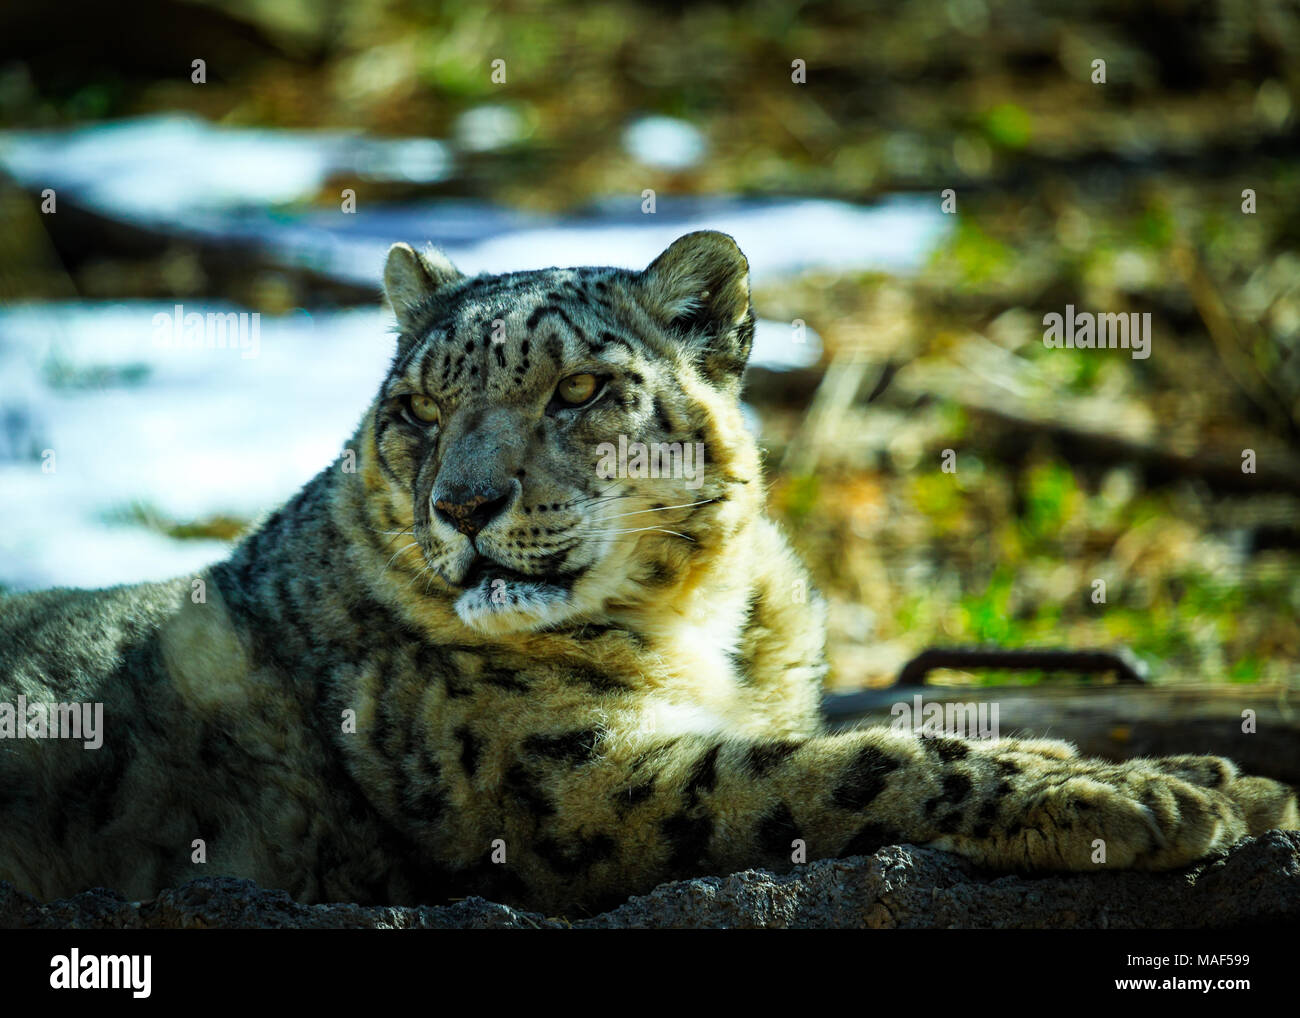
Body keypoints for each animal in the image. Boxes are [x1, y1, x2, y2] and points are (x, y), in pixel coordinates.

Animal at [0, 231, 1295, 916]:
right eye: (417, 409)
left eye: (577, 388)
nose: (462, 503)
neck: (703, 626)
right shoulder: (572, 786)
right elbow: (850, 764)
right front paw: (1155, 793)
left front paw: (1109, 754)